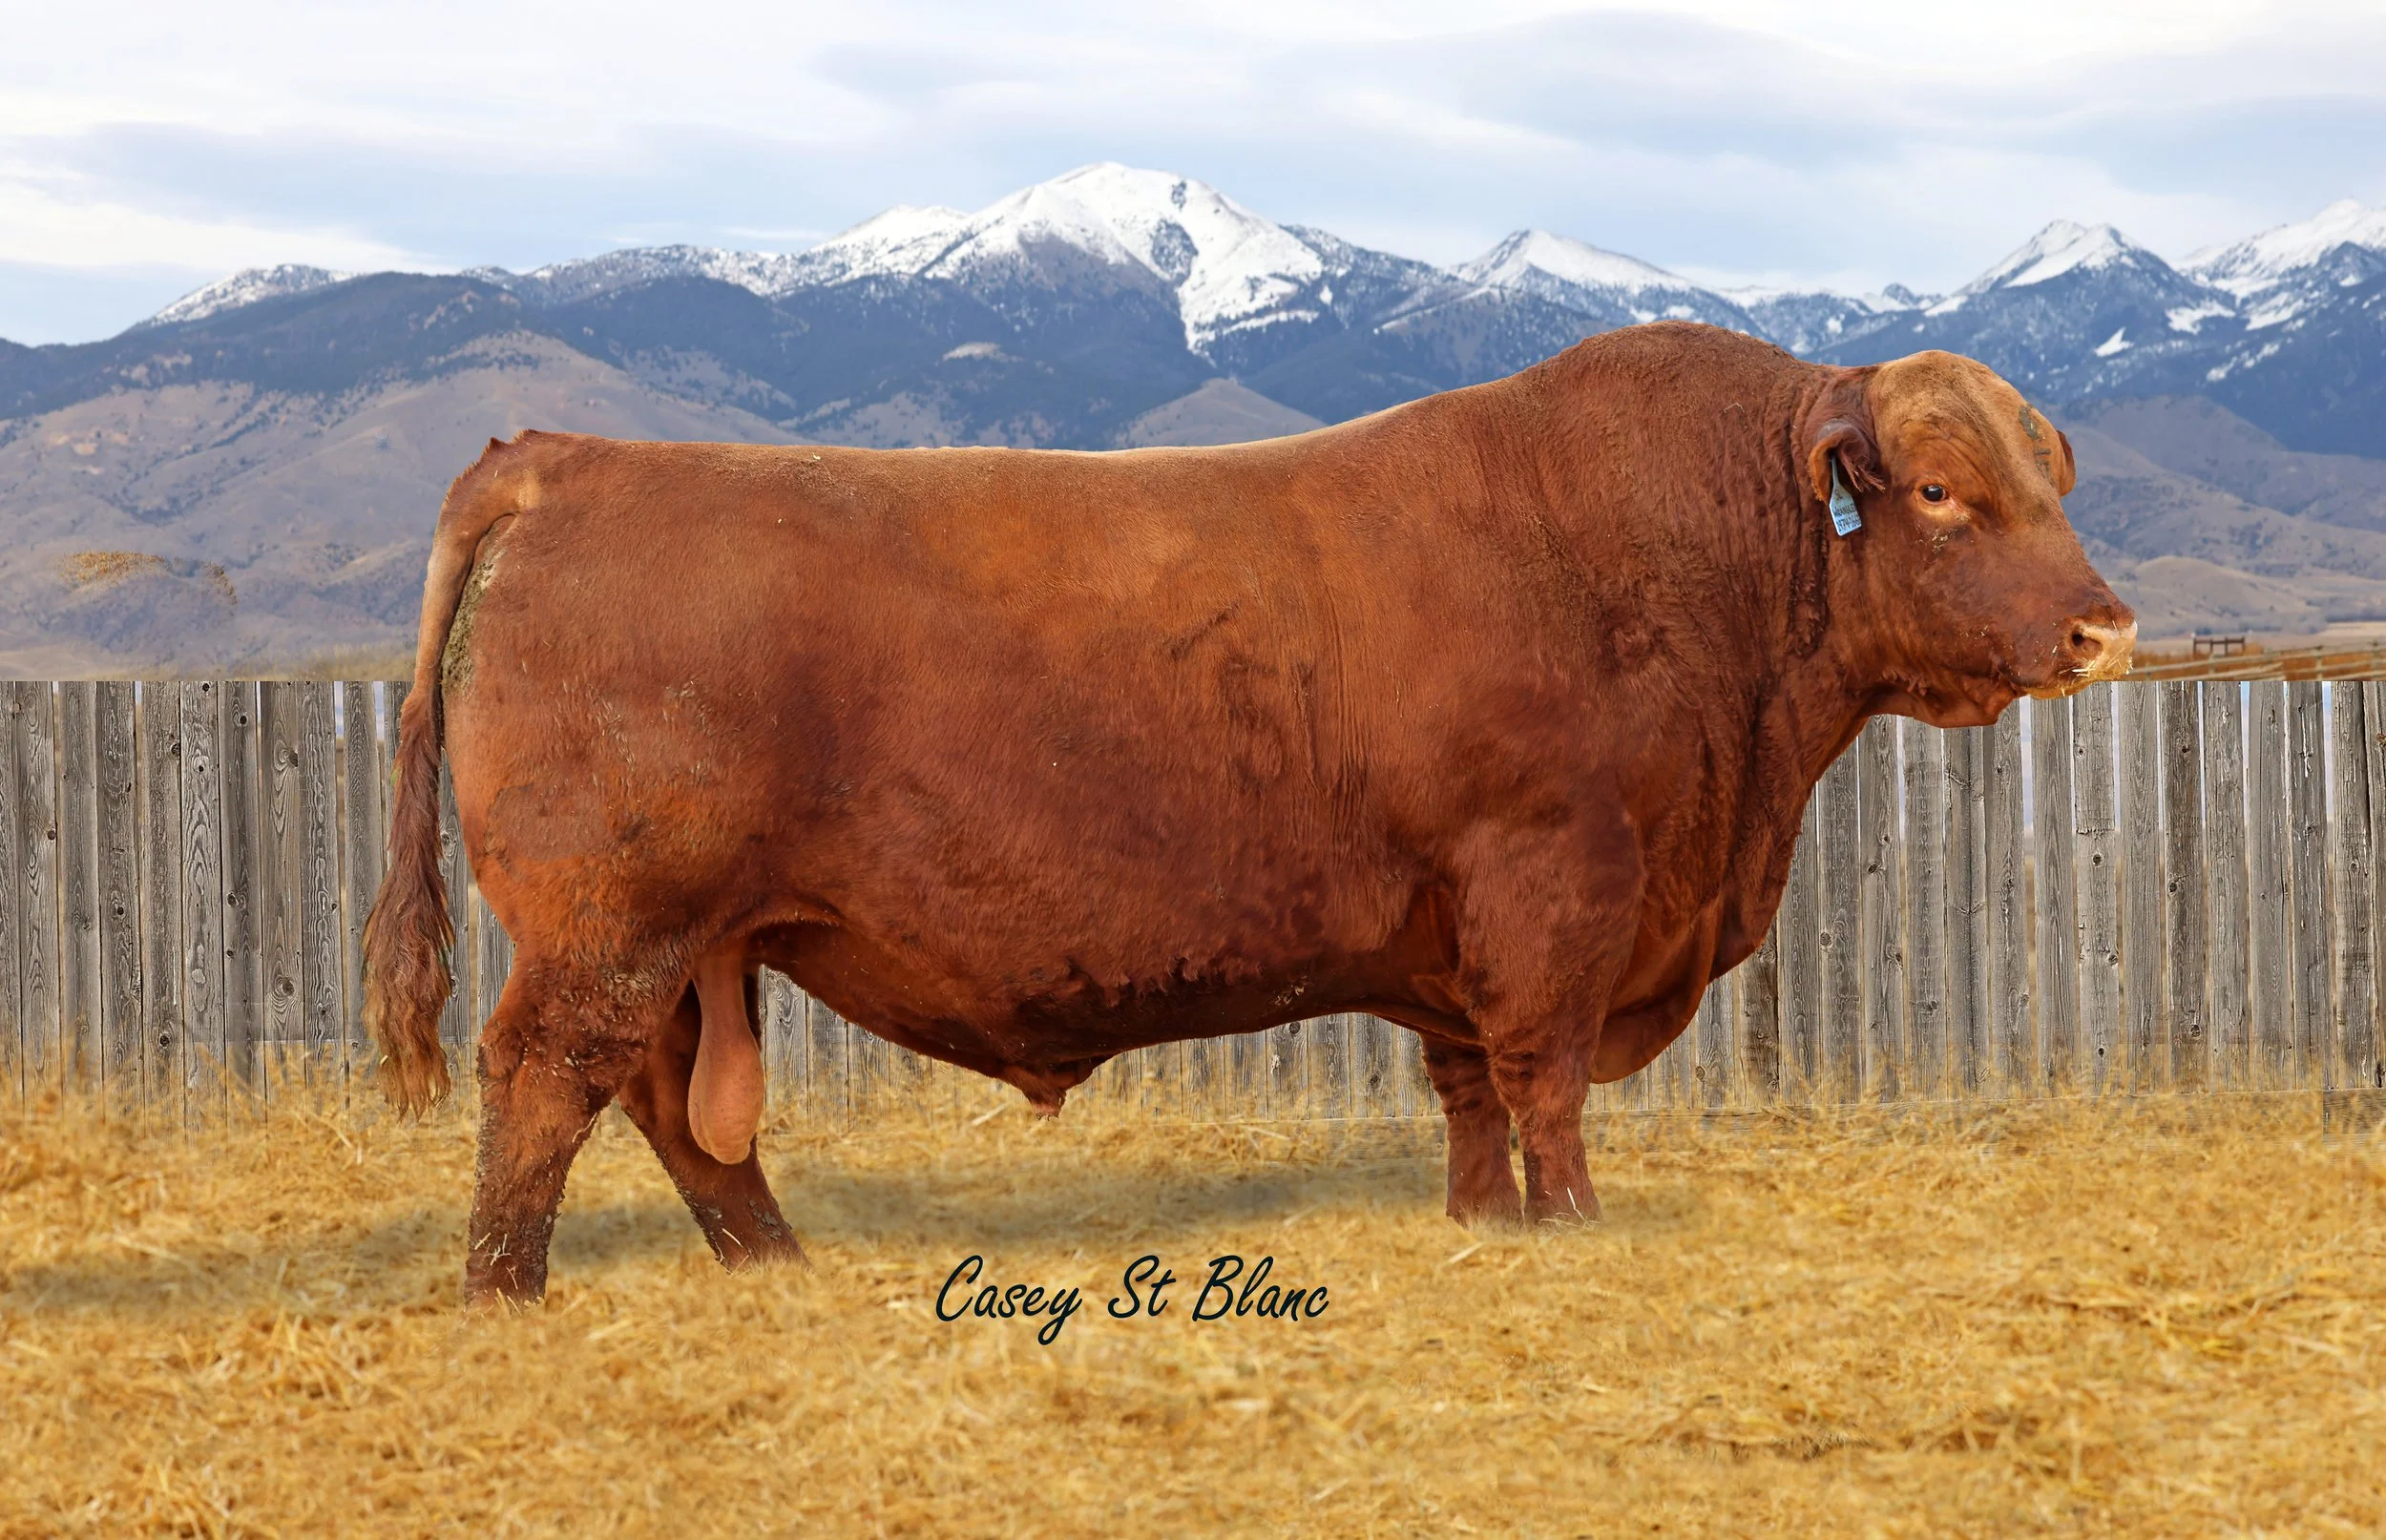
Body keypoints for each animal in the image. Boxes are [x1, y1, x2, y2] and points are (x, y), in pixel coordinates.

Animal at [360, 321, 2134, 1308]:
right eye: (1941, 491)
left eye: (2055, 481)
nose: (2104, 629)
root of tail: (561, 458)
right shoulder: (1554, 881)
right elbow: (1546, 1075)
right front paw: (1572, 1227)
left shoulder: (1445, 933)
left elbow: (1470, 1087)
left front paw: (1481, 1221)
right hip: (610, 927)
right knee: (549, 1078)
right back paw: (504, 1288)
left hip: (682, 944)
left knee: (667, 1102)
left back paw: (771, 1264)